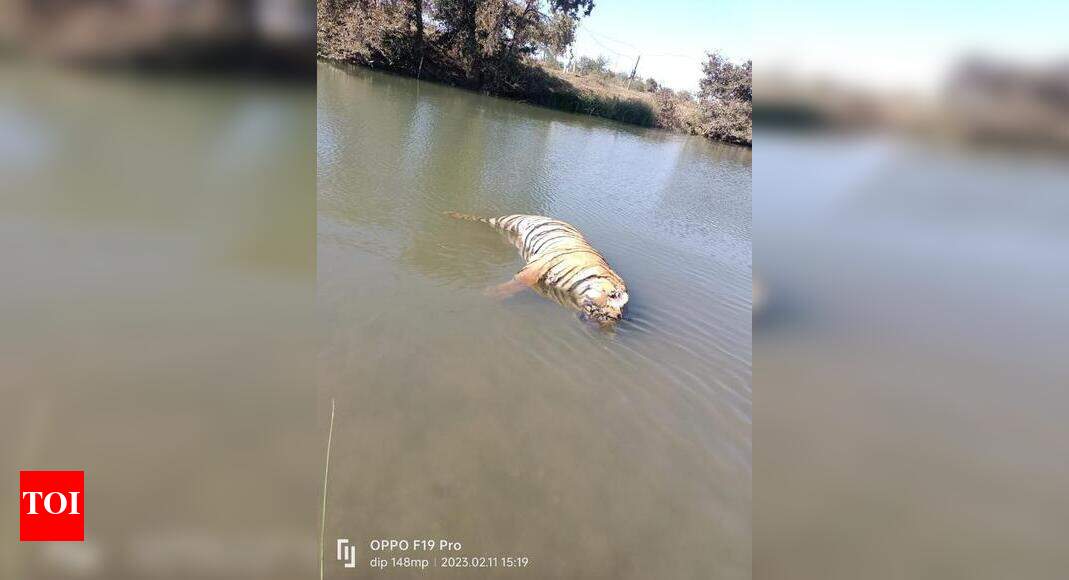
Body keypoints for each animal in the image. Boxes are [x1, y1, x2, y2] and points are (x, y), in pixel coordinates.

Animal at [446, 212, 629, 324]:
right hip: (507, 221)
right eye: (614, 295)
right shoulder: (541, 263)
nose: (616, 317)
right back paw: (450, 214)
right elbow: (520, 281)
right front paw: (489, 294)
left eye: (622, 308)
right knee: (484, 219)